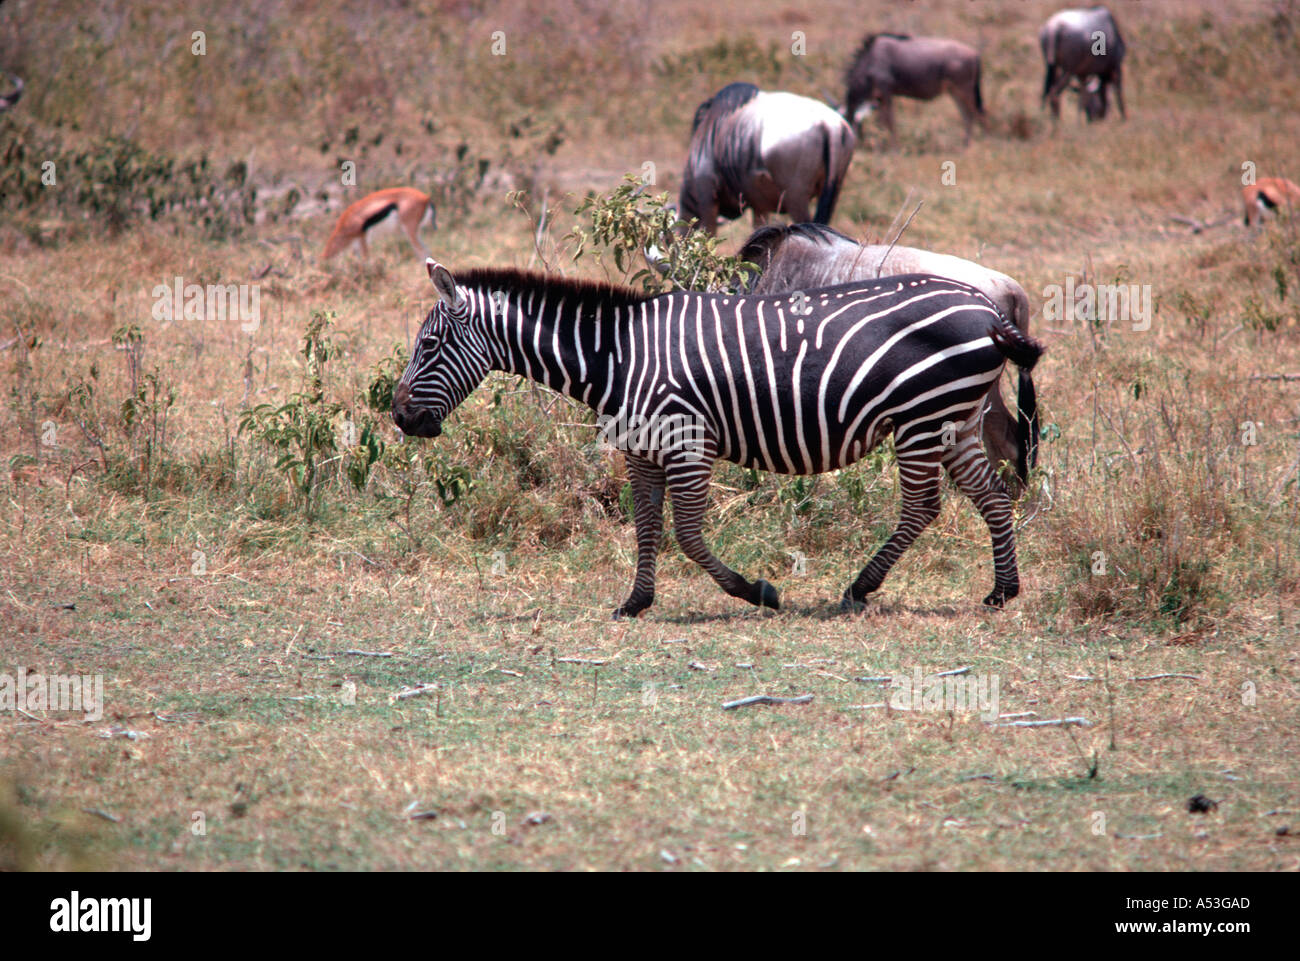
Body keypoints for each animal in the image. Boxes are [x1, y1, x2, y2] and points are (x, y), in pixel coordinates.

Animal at [393, 259, 1044, 617]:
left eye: (428, 346)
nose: (399, 417)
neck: (618, 357)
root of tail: (987, 306)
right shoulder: (642, 450)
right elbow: (648, 528)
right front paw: (635, 603)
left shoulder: (688, 442)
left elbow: (687, 534)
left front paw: (757, 591)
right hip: (954, 419)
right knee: (991, 497)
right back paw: (1002, 591)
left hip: (920, 418)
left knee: (923, 505)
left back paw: (862, 586)